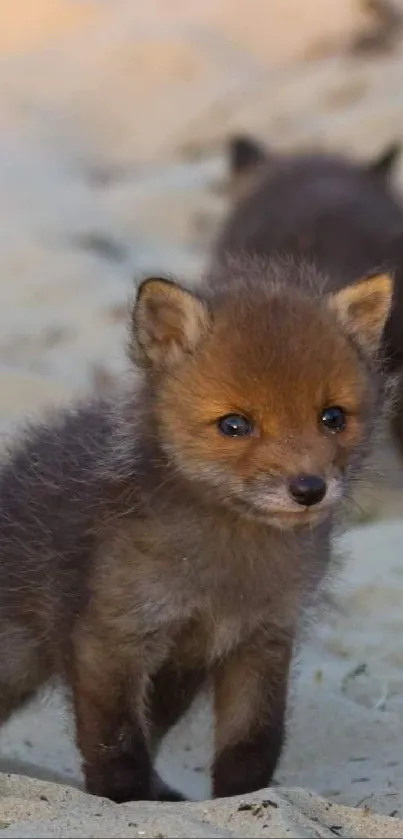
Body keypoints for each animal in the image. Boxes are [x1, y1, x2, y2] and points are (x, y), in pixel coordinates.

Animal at [0, 256, 393, 803]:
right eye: (234, 425)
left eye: (332, 417)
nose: (309, 488)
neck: (225, 575)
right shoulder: (113, 636)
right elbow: (115, 742)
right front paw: (128, 801)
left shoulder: (261, 639)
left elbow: (253, 742)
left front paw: (244, 800)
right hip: (16, 657)